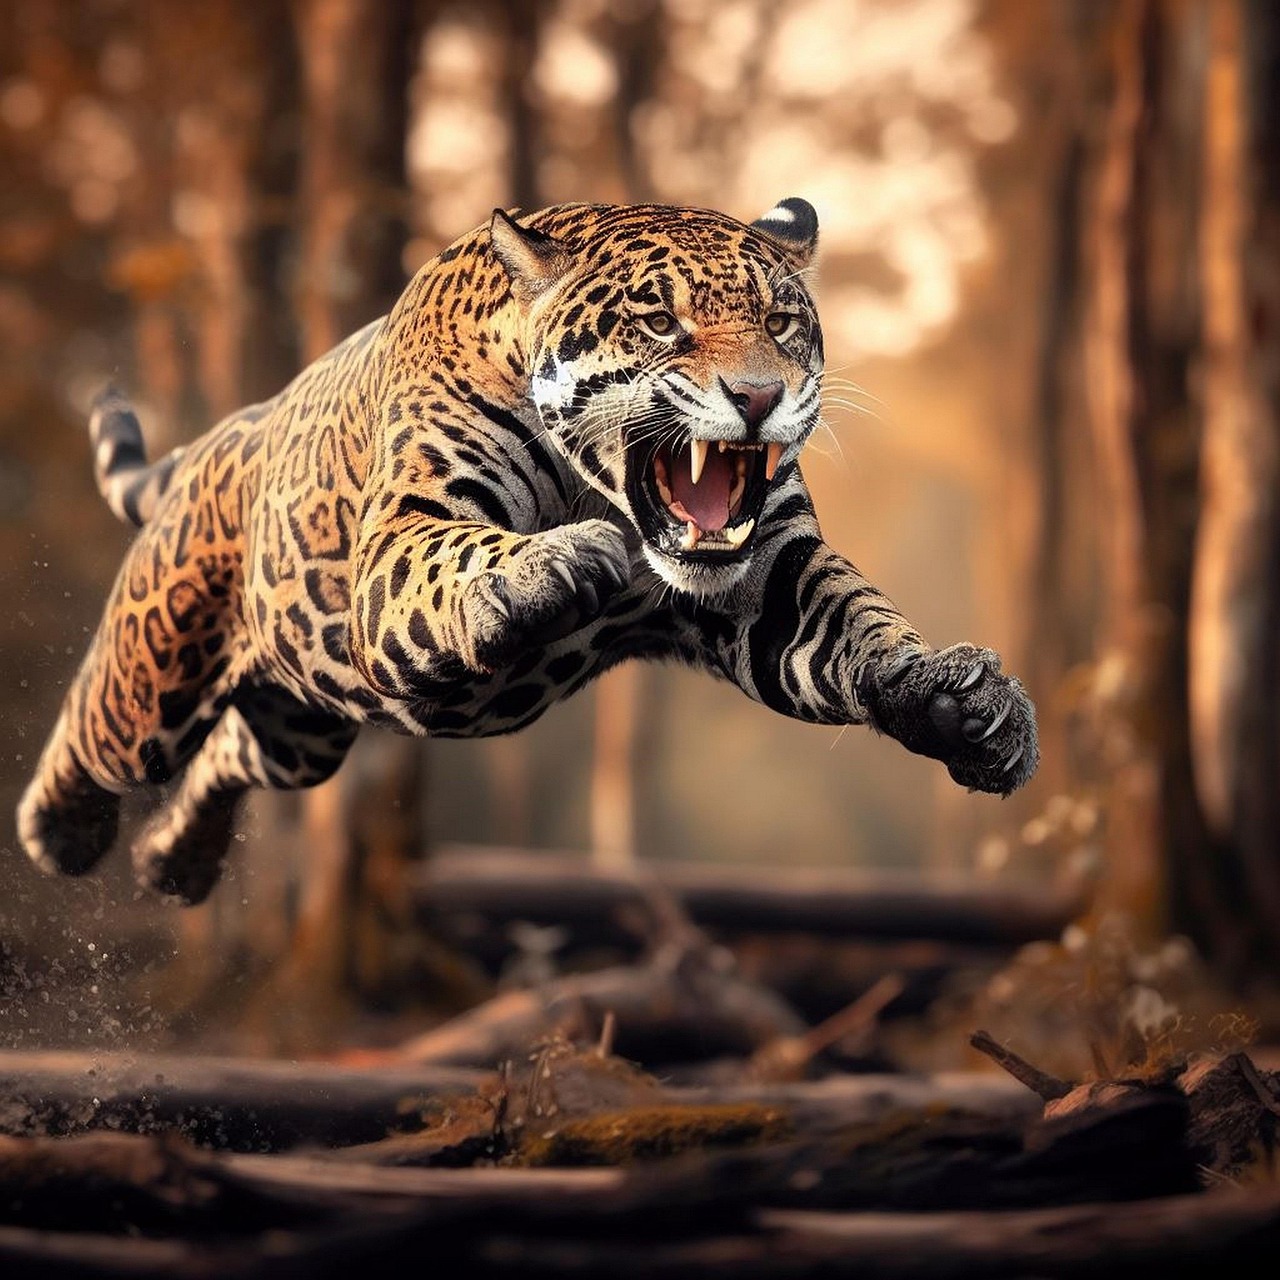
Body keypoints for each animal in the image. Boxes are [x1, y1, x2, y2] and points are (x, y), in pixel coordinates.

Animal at [17, 197, 1039, 906]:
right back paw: (64, 829)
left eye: (782, 322)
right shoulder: (405, 530)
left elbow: (860, 623)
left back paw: (175, 862)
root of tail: (236, 430)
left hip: (304, 720)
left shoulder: (772, 572)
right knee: (97, 725)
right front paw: (546, 565)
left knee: (236, 751)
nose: (758, 397)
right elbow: (460, 553)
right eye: (660, 322)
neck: (600, 489)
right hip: (157, 669)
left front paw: (959, 701)